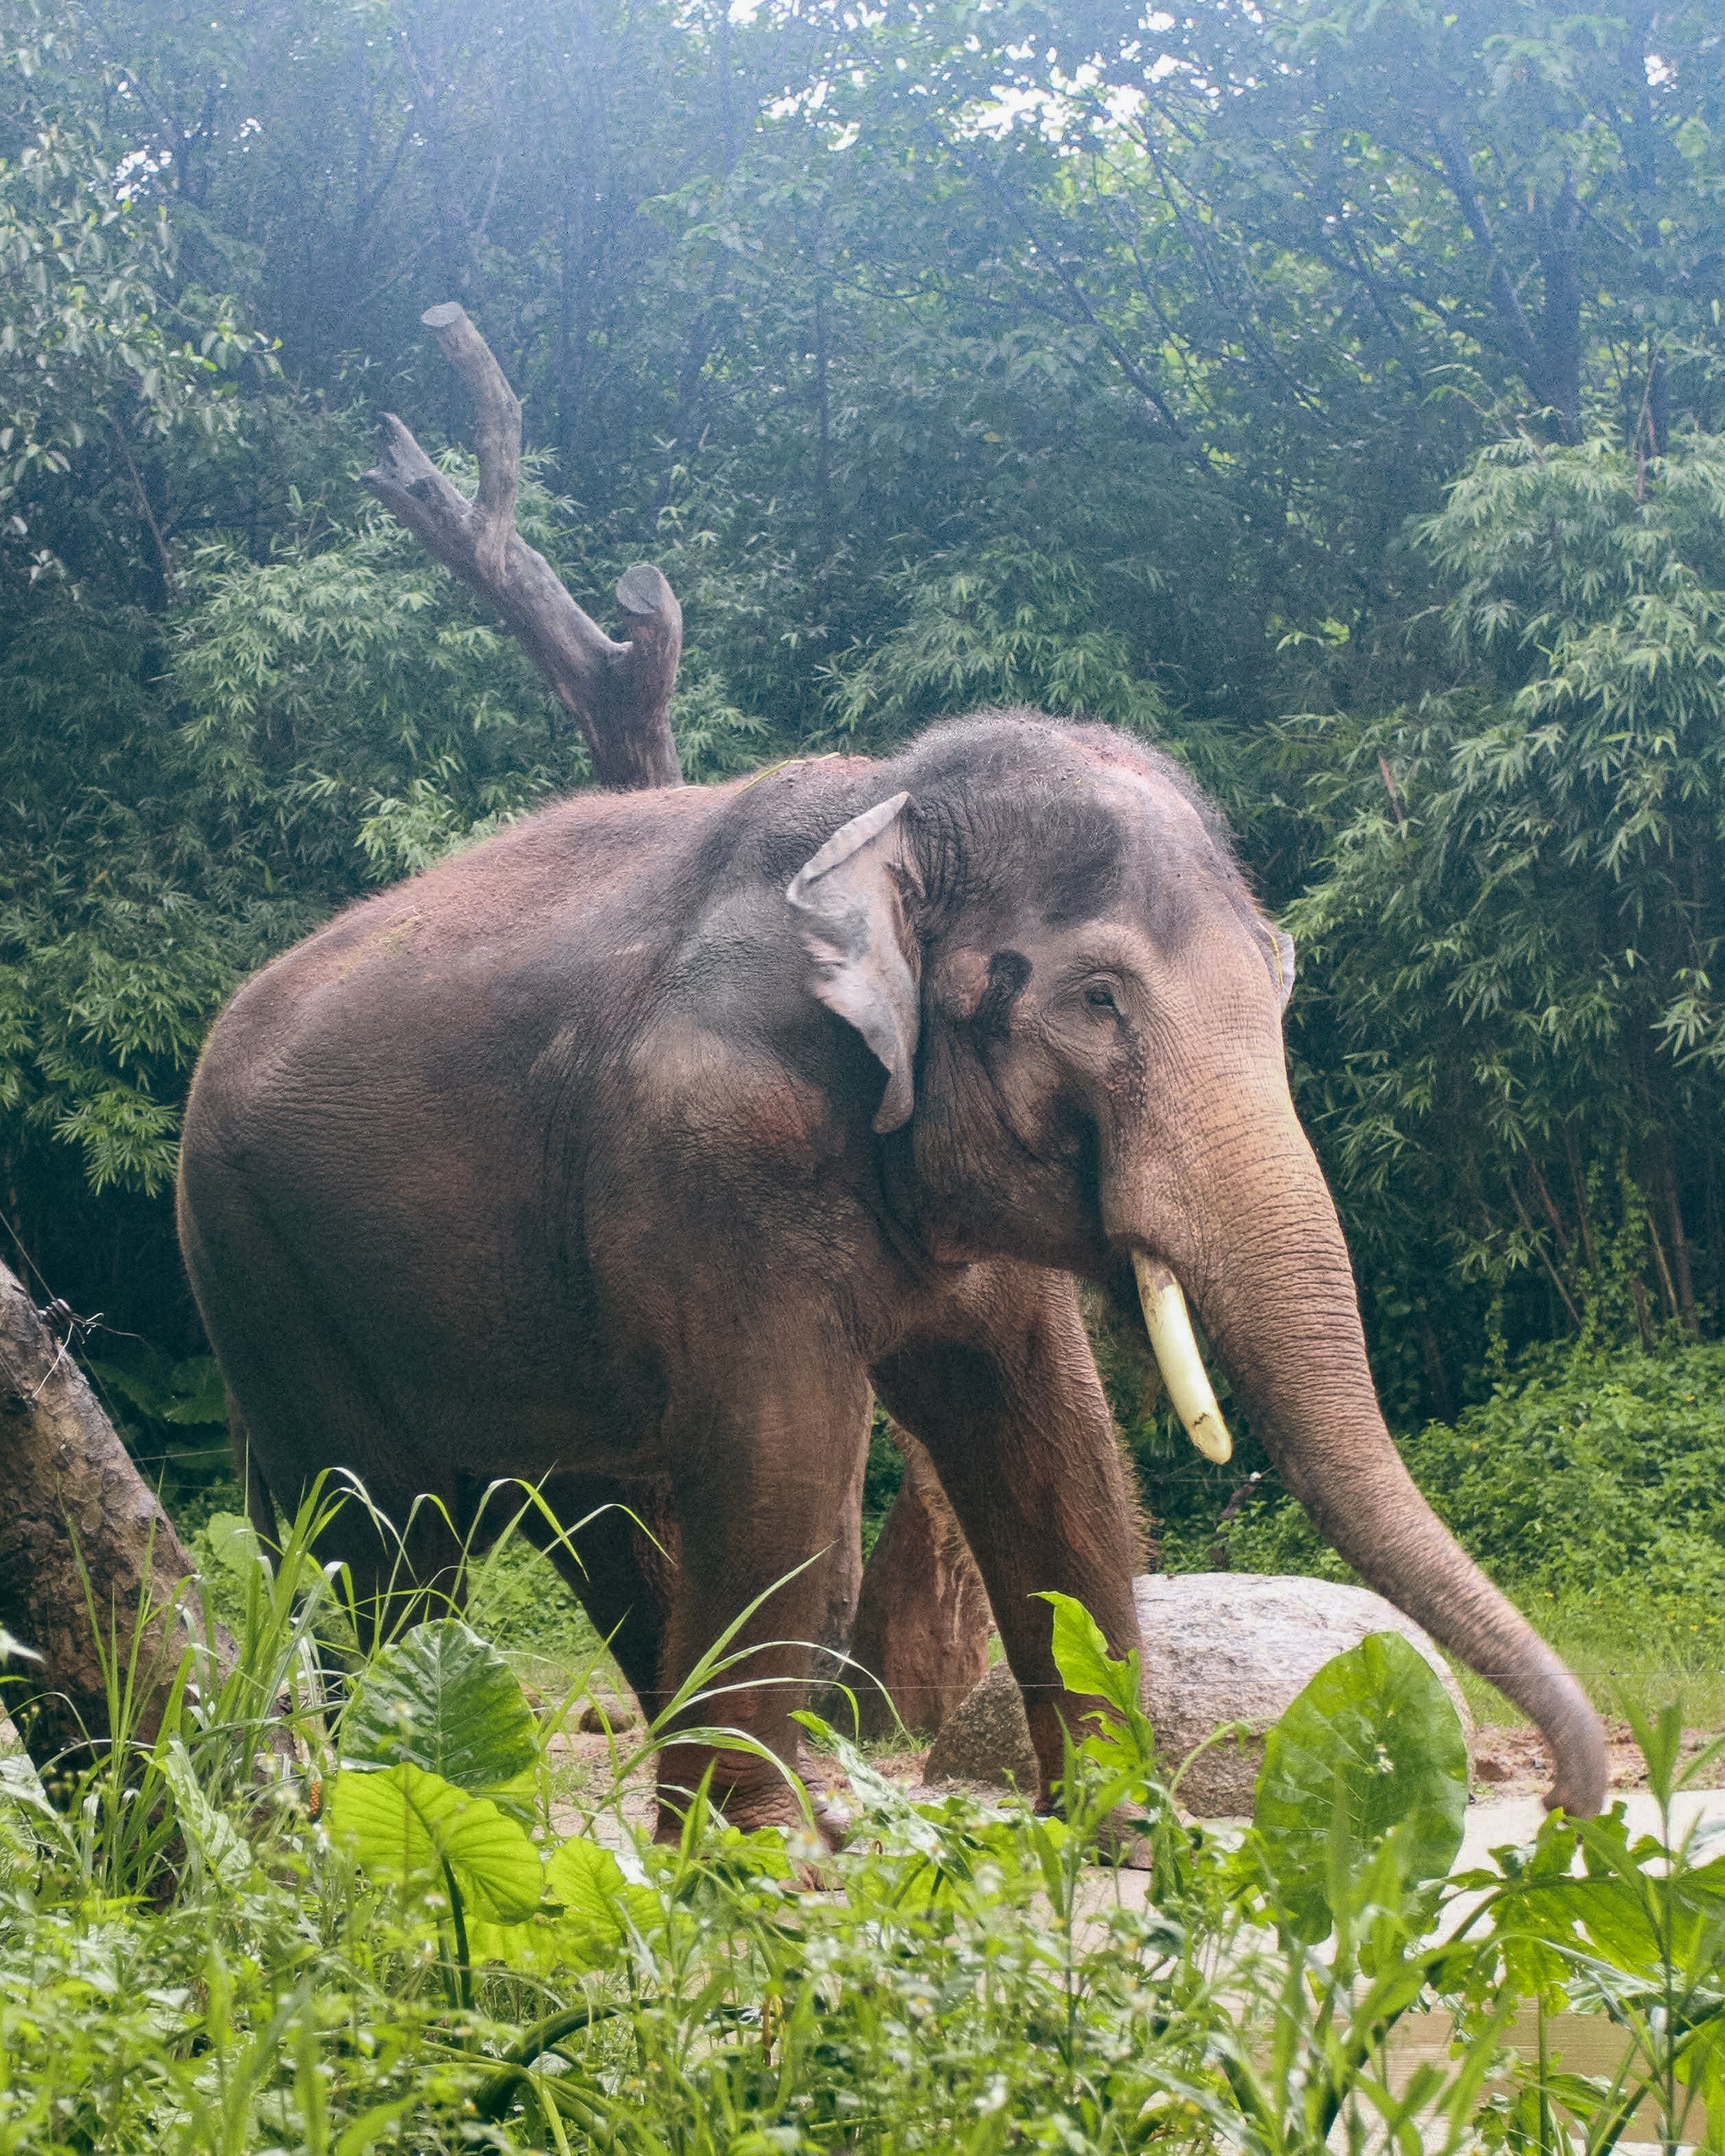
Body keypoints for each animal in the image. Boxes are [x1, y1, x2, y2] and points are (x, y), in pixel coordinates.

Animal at [177, 710, 1608, 1831]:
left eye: (1278, 983)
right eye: (1097, 999)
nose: (1558, 1802)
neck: (886, 809)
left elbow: (1046, 1446)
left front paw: (1120, 1822)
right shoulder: (714, 1150)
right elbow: (781, 1470)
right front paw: (765, 1866)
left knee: (603, 1525)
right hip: (255, 1258)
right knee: (383, 1545)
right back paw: (420, 1800)